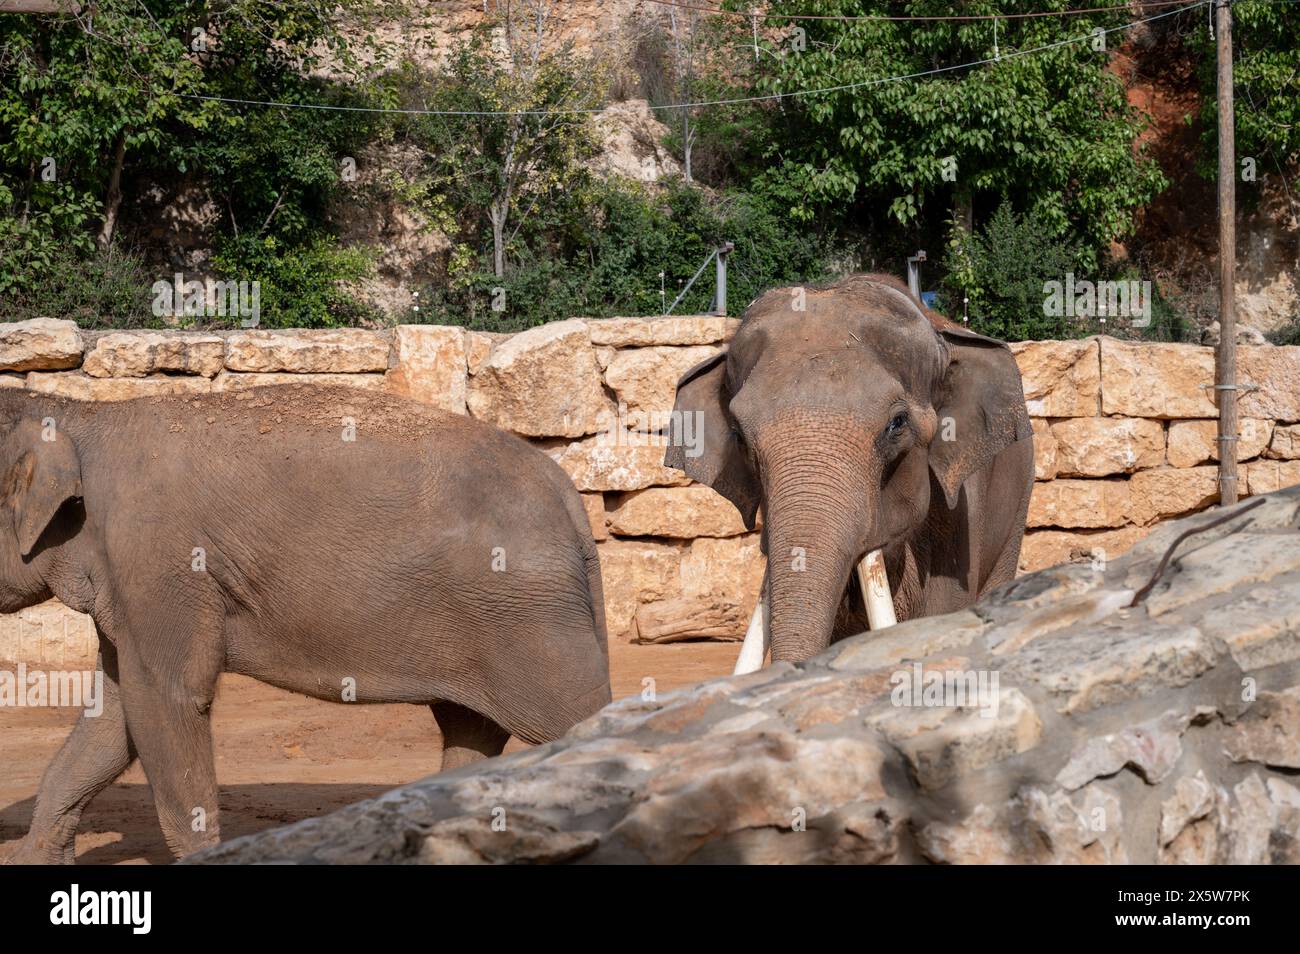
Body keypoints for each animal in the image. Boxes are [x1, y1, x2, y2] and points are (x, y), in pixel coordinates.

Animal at [1, 384, 611, 862]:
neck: (82, 415)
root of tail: (571, 498)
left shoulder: (159, 564)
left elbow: (168, 701)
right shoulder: (128, 583)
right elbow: (114, 715)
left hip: (531, 619)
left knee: (573, 717)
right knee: (471, 729)